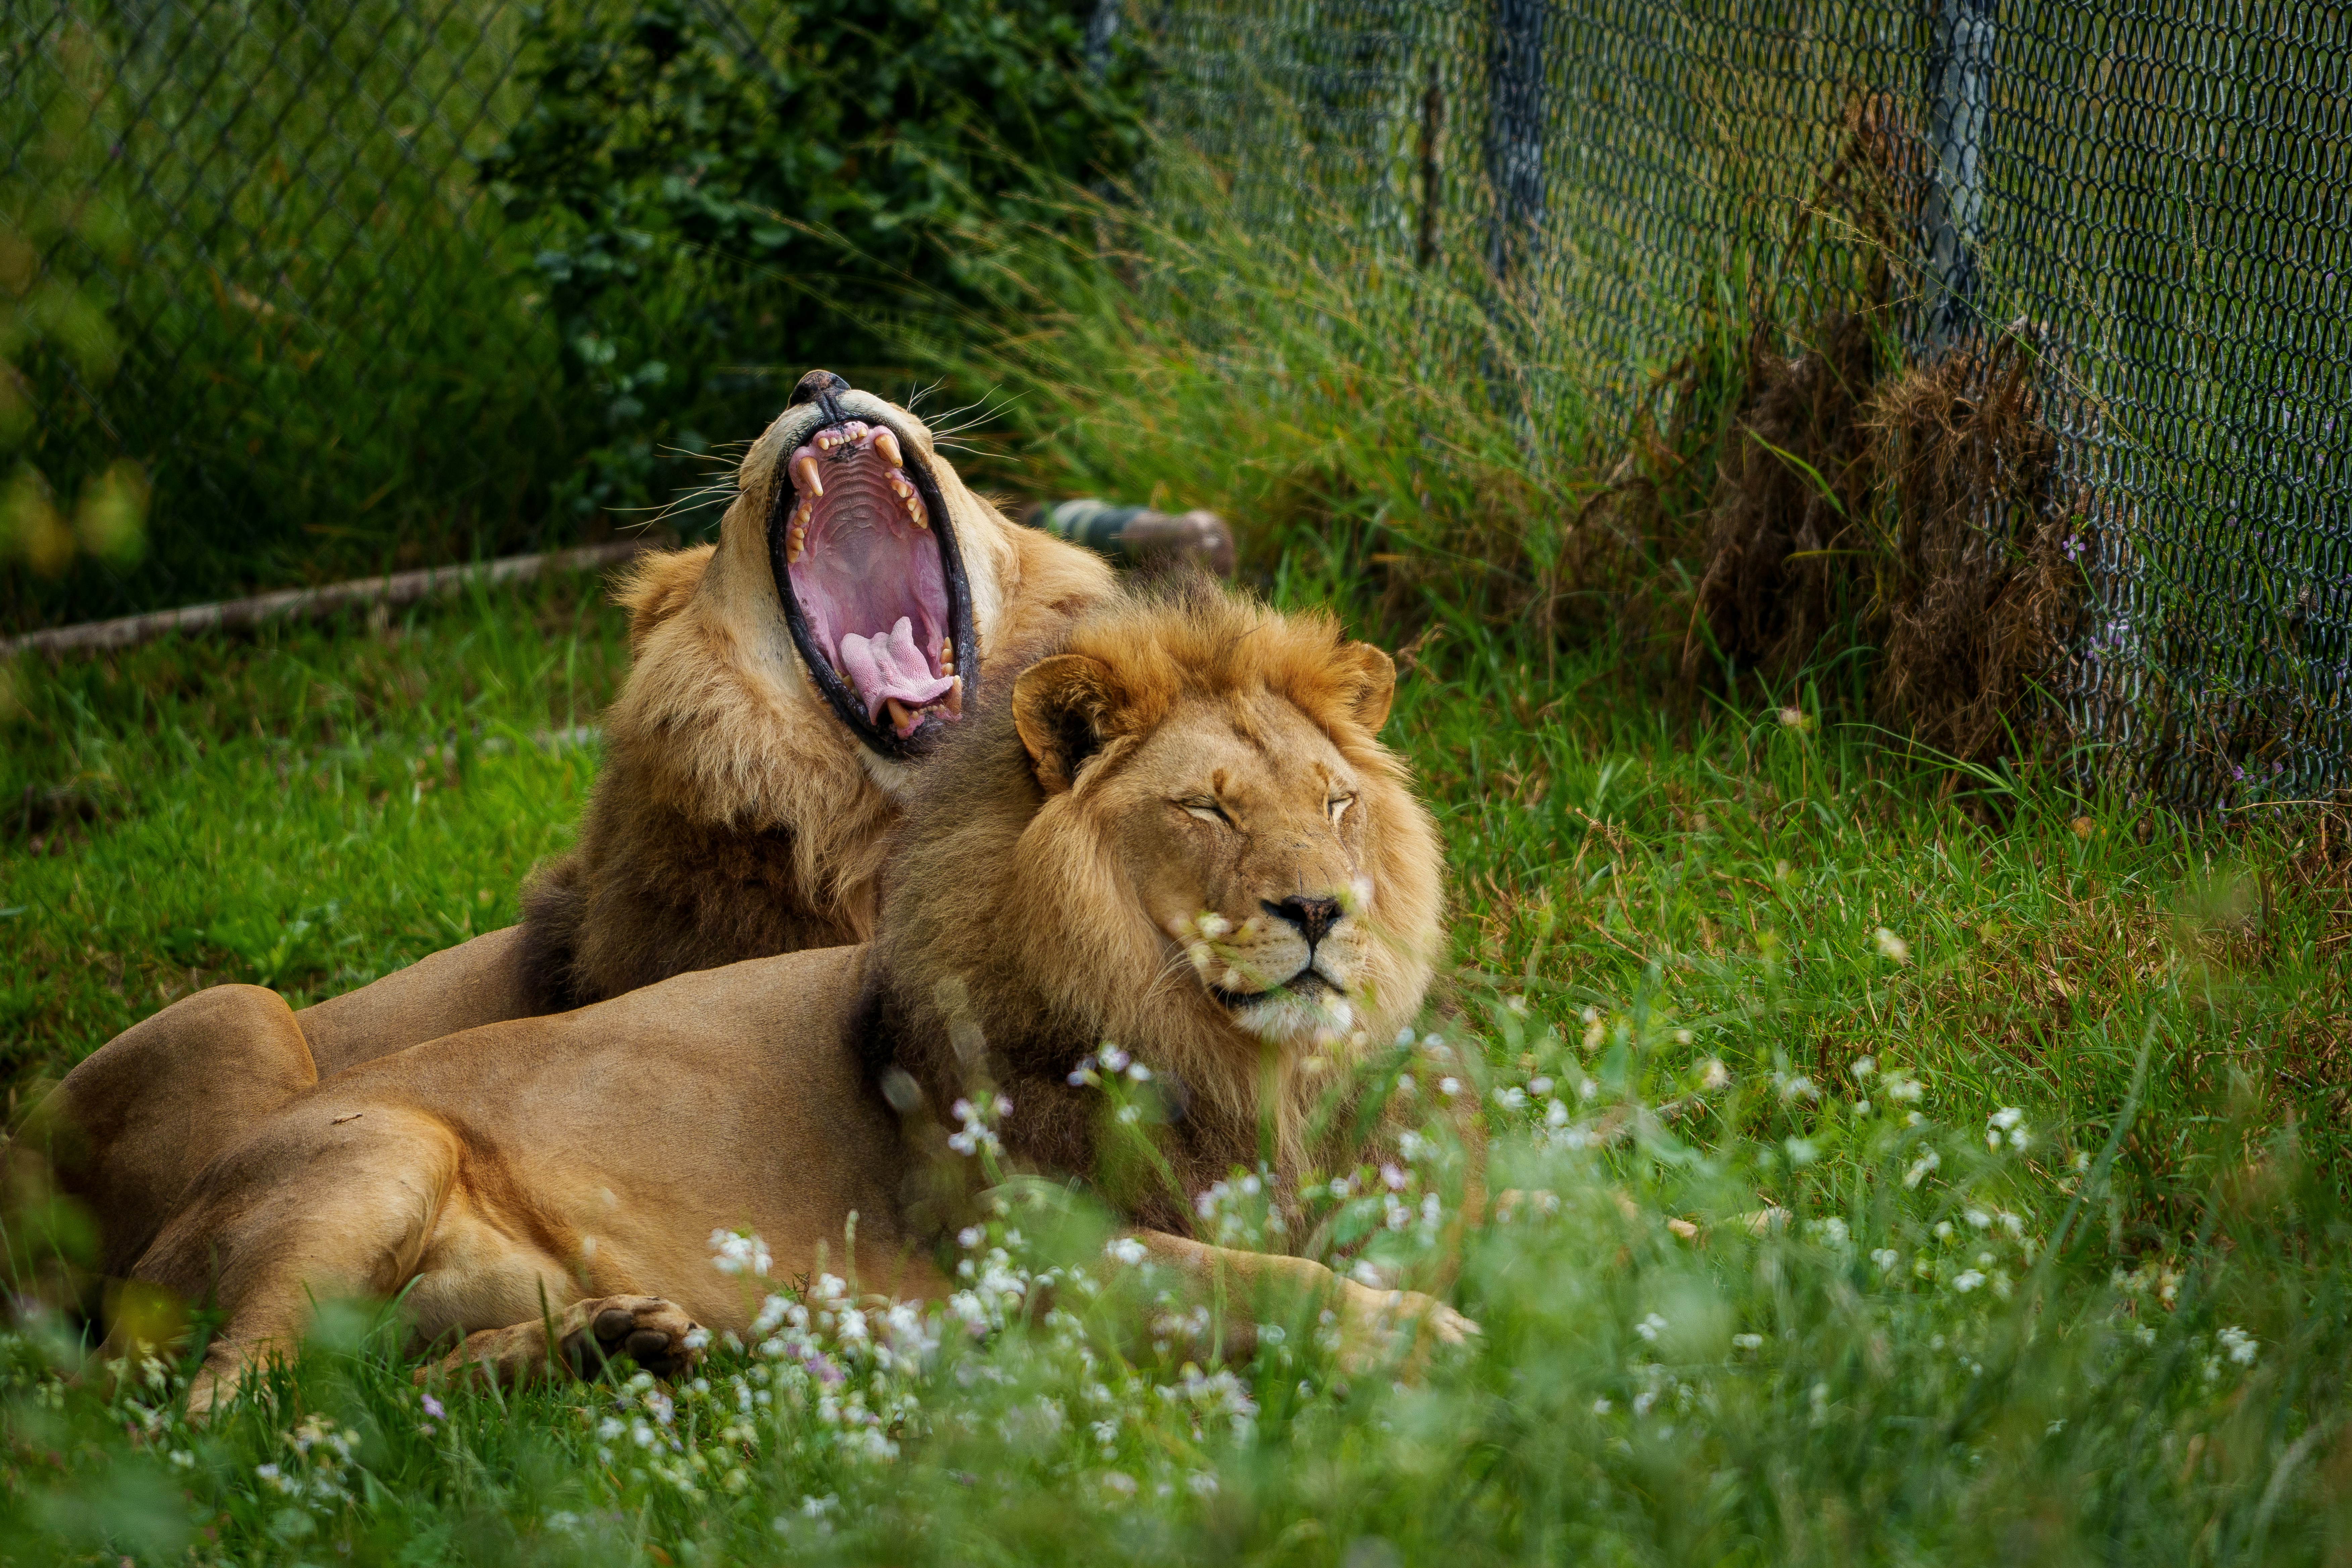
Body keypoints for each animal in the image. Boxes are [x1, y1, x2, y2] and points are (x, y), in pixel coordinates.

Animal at [19, 583, 1474, 1414]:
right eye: (1206, 810)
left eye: (1332, 803)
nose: (1322, 911)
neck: (1217, 1052)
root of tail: (133, 1266)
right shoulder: (1031, 1255)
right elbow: (1266, 1282)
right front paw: (1427, 1334)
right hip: (367, 1141)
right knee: (218, 1408)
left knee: (384, 1383)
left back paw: (609, 1345)